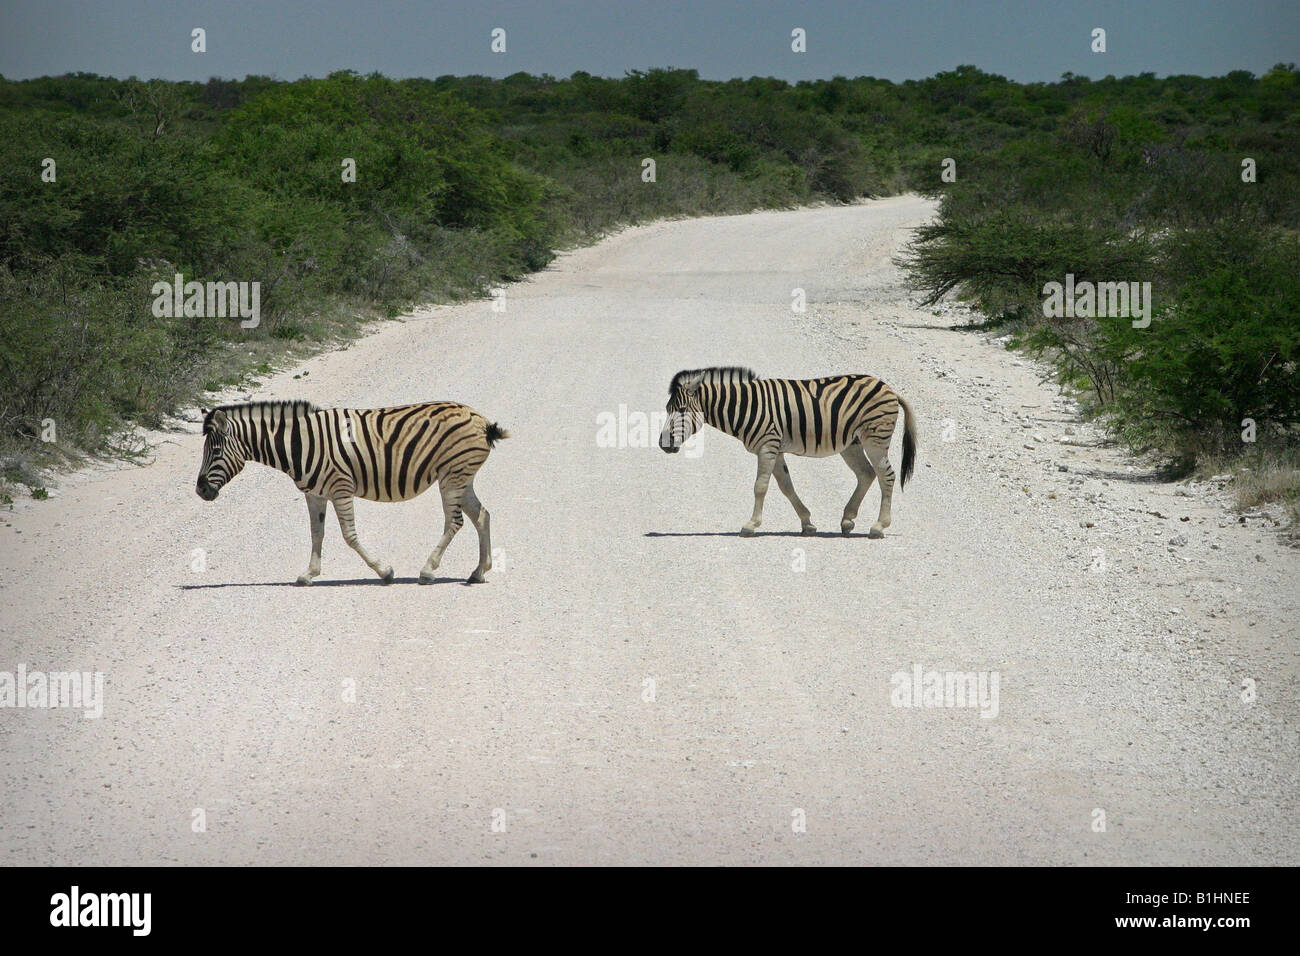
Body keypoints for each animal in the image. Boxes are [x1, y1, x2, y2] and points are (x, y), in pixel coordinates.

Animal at [195, 400, 508, 585]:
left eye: (215, 451)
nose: (200, 490)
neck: (300, 444)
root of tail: (481, 420)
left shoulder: (340, 487)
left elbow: (349, 535)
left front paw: (384, 571)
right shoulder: (315, 493)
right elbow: (317, 533)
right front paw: (309, 574)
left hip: (452, 476)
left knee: (455, 522)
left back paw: (428, 570)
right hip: (460, 476)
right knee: (482, 515)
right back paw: (478, 572)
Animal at [658, 367, 917, 537]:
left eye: (681, 409)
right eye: (669, 409)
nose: (662, 444)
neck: (745, 407)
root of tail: (889, 388)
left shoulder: (767, 445)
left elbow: (760, 487)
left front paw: (751, 525)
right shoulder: (775, 449)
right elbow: (786, 486)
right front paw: (807, 523)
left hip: (874, 439)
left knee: (886, 476)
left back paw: (879, 526)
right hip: (851, 444)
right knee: (866, 474)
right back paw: (847, 520)